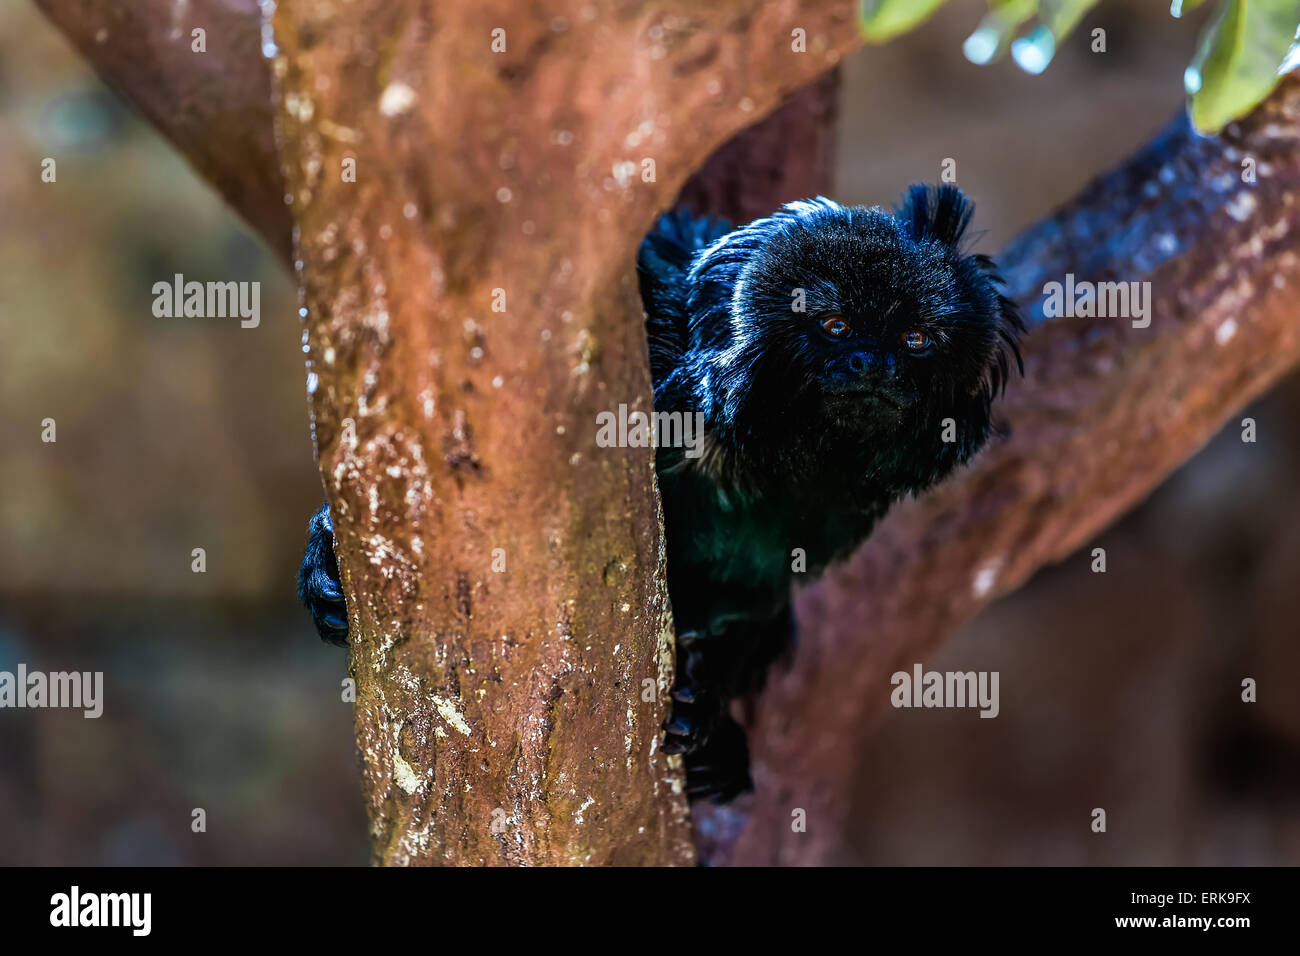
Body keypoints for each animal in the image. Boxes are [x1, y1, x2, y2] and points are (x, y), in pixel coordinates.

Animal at [300, 184, 1024, 803]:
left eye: (915, 338)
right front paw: (328, 567)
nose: (872, 365)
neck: (772, 459)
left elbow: (753, 604)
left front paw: (708, 706)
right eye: (835, 325)